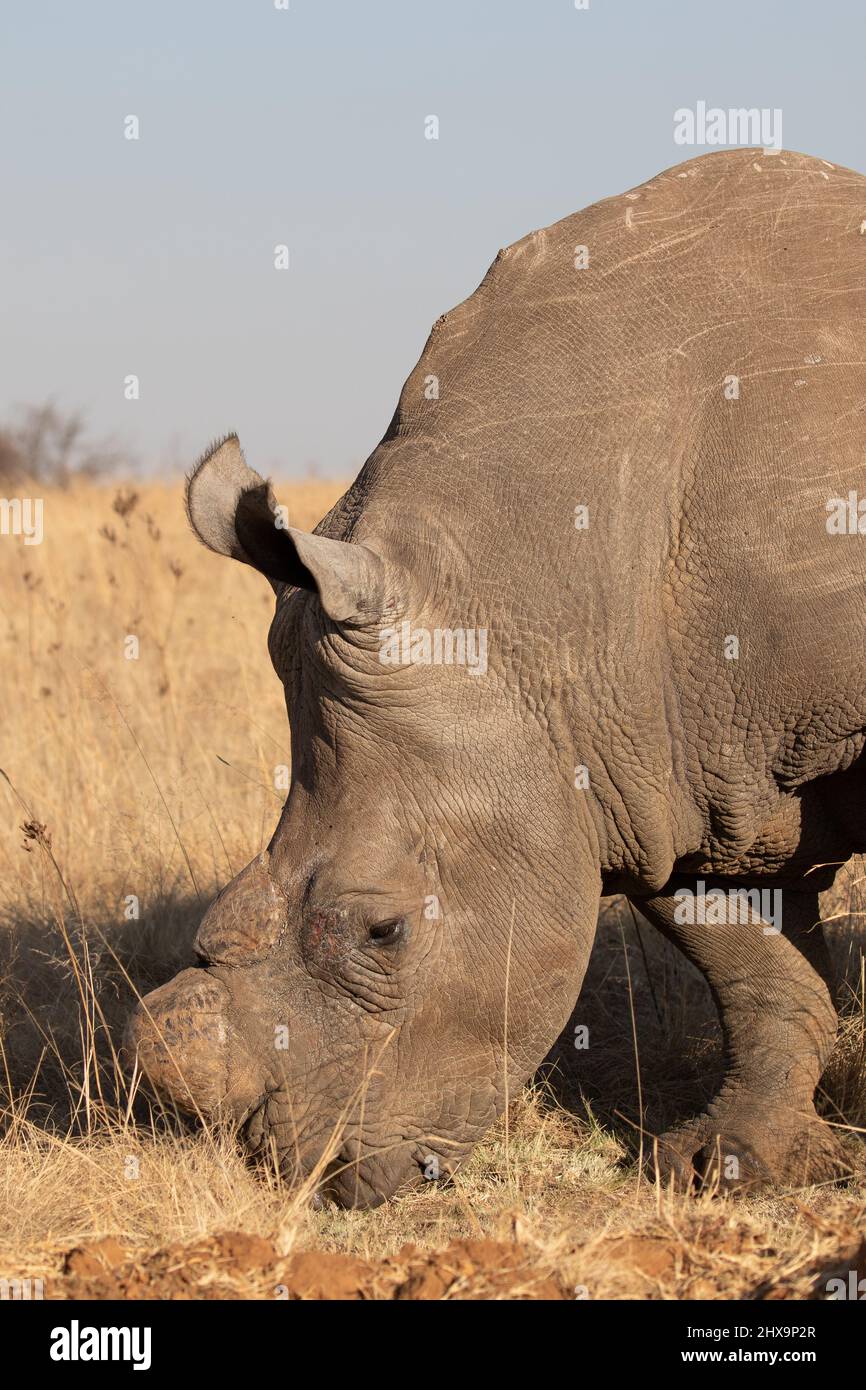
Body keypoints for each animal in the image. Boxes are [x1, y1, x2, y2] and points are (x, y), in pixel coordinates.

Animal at [127, 148, 866, 1205]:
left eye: (384, 933)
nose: (302, 1170)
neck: (528, 591)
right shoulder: (669, 775)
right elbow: (756, 969)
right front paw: (725, 1165)